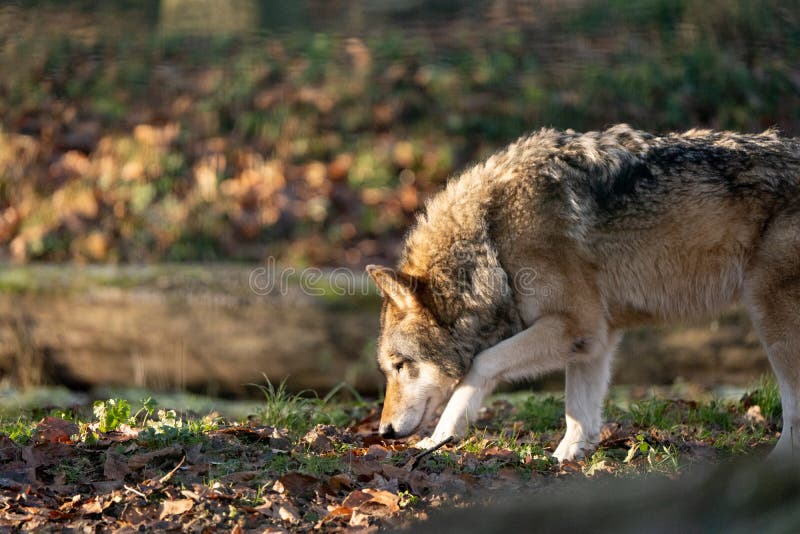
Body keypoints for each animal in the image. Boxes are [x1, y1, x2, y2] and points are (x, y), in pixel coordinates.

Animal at [366, 124, 800, 462]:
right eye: (388, 370)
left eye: (401, 365)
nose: (383, 431)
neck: (493, 238)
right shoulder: (595, 338)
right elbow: (579, 410)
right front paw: (567, 456)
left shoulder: (572, 324)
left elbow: (481, 366)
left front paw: (440, 438)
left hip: (773, 320)